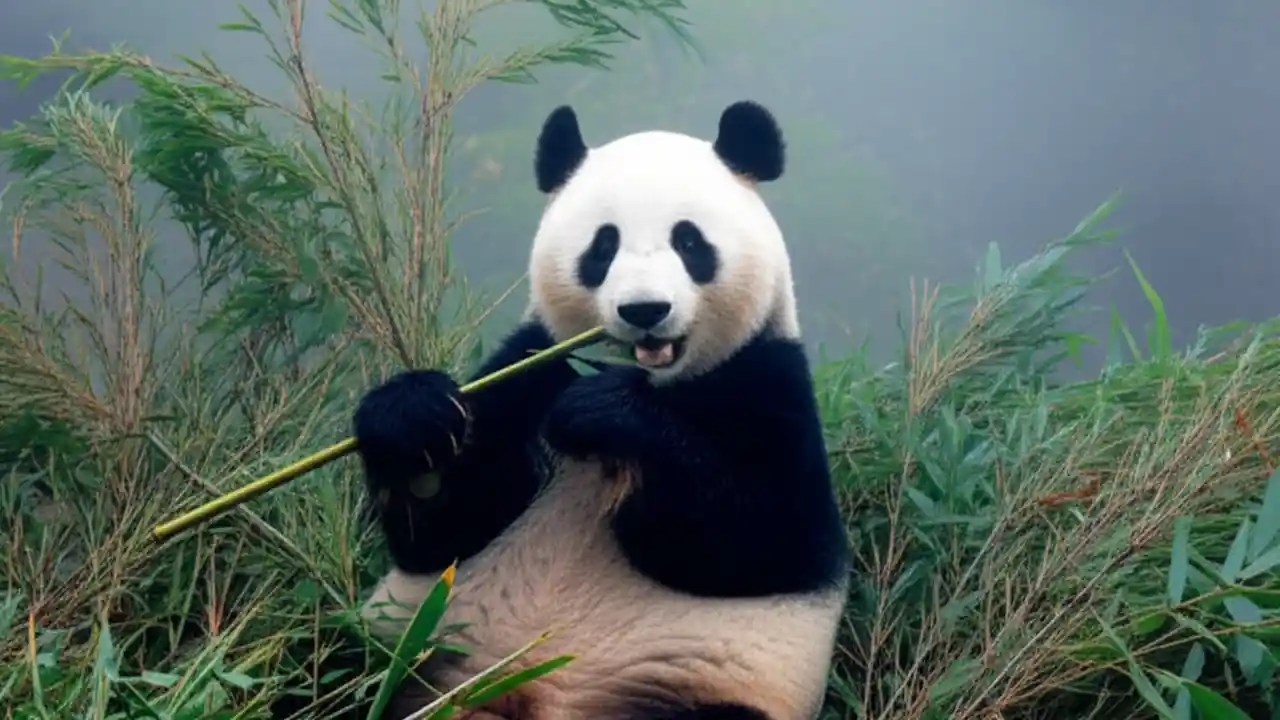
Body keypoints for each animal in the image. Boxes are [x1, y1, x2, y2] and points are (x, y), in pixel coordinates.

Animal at [352, 100, 850, 720]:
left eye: (690, 243)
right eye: (602, 247)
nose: (645, 310)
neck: (649, 378)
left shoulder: (766, 379)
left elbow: (766, 537)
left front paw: (605, 414)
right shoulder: (535, 363)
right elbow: (447, 527)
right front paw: (412, 416)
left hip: (695, 685)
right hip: (415, 647)